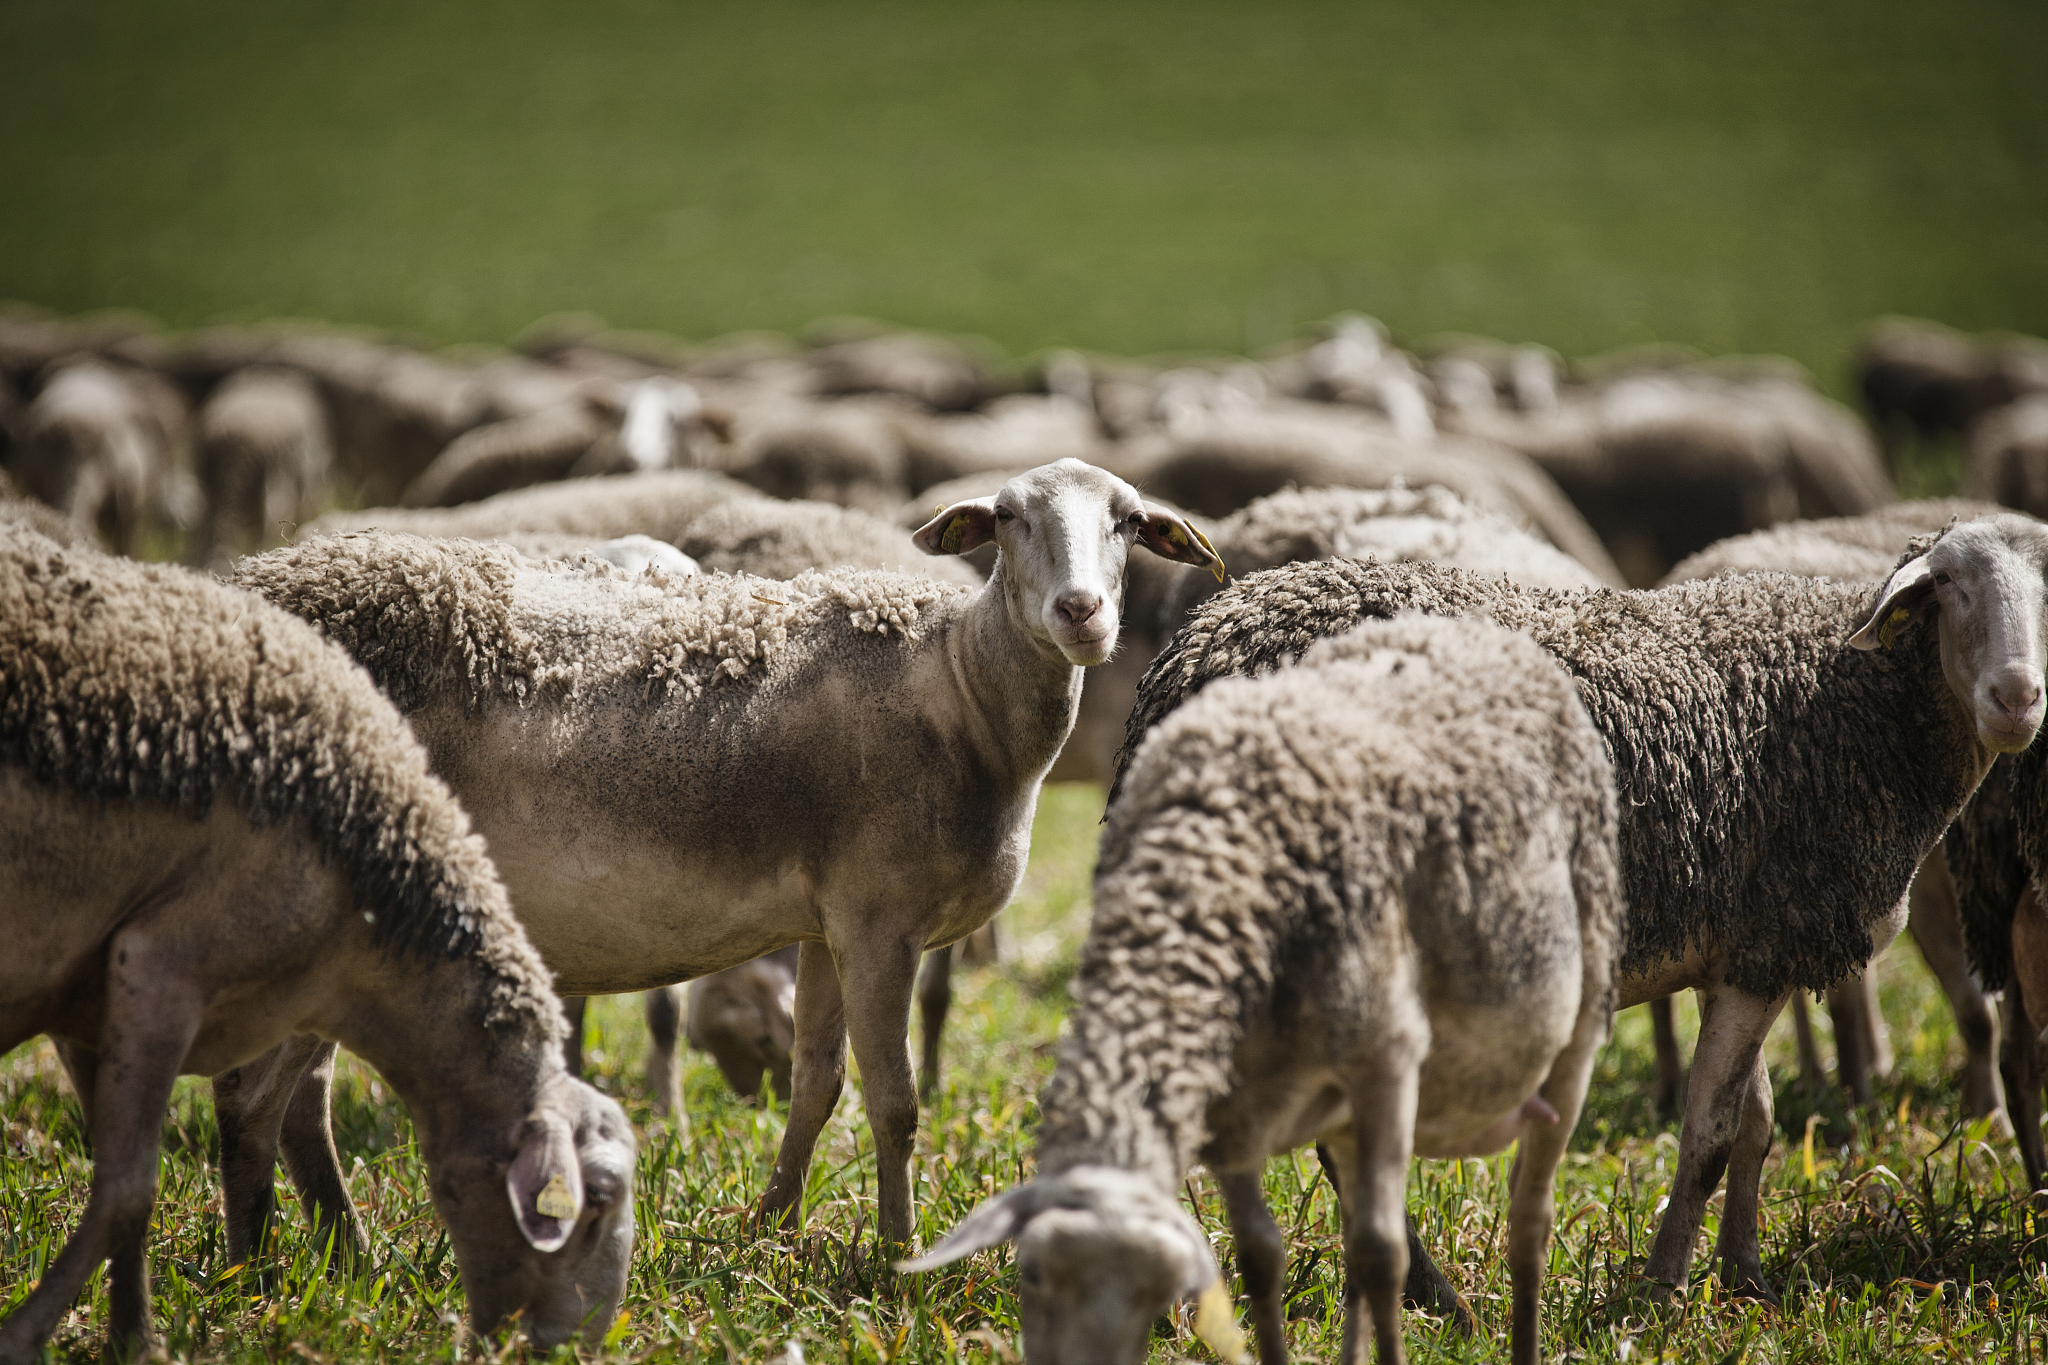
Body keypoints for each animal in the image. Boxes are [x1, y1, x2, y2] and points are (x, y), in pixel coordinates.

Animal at [0, 523, 635, 1361]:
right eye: (595, 1199)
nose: (576, 1345)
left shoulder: (90, 994)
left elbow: (122, 1179)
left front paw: (134, 1326)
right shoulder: (158, 970)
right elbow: (132, 1189)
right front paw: (77, 1334)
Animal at [232, 458, 1225, 1248]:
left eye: (1128, 522)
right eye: (1011, 517)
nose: (1081, 612)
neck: (957, 690)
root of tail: (263, 586)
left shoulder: (829, 926)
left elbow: (818, 1082)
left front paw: (772, 1221)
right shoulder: (881, 921)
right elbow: (895, 1100)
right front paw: (898, 1252)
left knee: (290, 1099)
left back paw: (323, 1250)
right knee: (260, 1098)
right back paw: (273, 1263)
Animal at [907, 615, 1621, 1365]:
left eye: (1152, 1290)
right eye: (1031, 1273)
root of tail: (1468, 628)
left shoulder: (1387, 1061)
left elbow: (1382, 1253)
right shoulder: (1234, 1114)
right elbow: (1261, 1259)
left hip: (1578, 1011)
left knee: (1529, 1218)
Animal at [1114, 516, 2048, 1302]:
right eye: (1950, 585)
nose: (2018, 699)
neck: (1856, 704)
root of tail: (1205, 642)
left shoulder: (1744, 952)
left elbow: (1755, 1124)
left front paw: (1743, 1277)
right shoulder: (1771, 940)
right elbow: (1709, 1132)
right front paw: (1665, 1286)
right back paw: (1429, 1297)